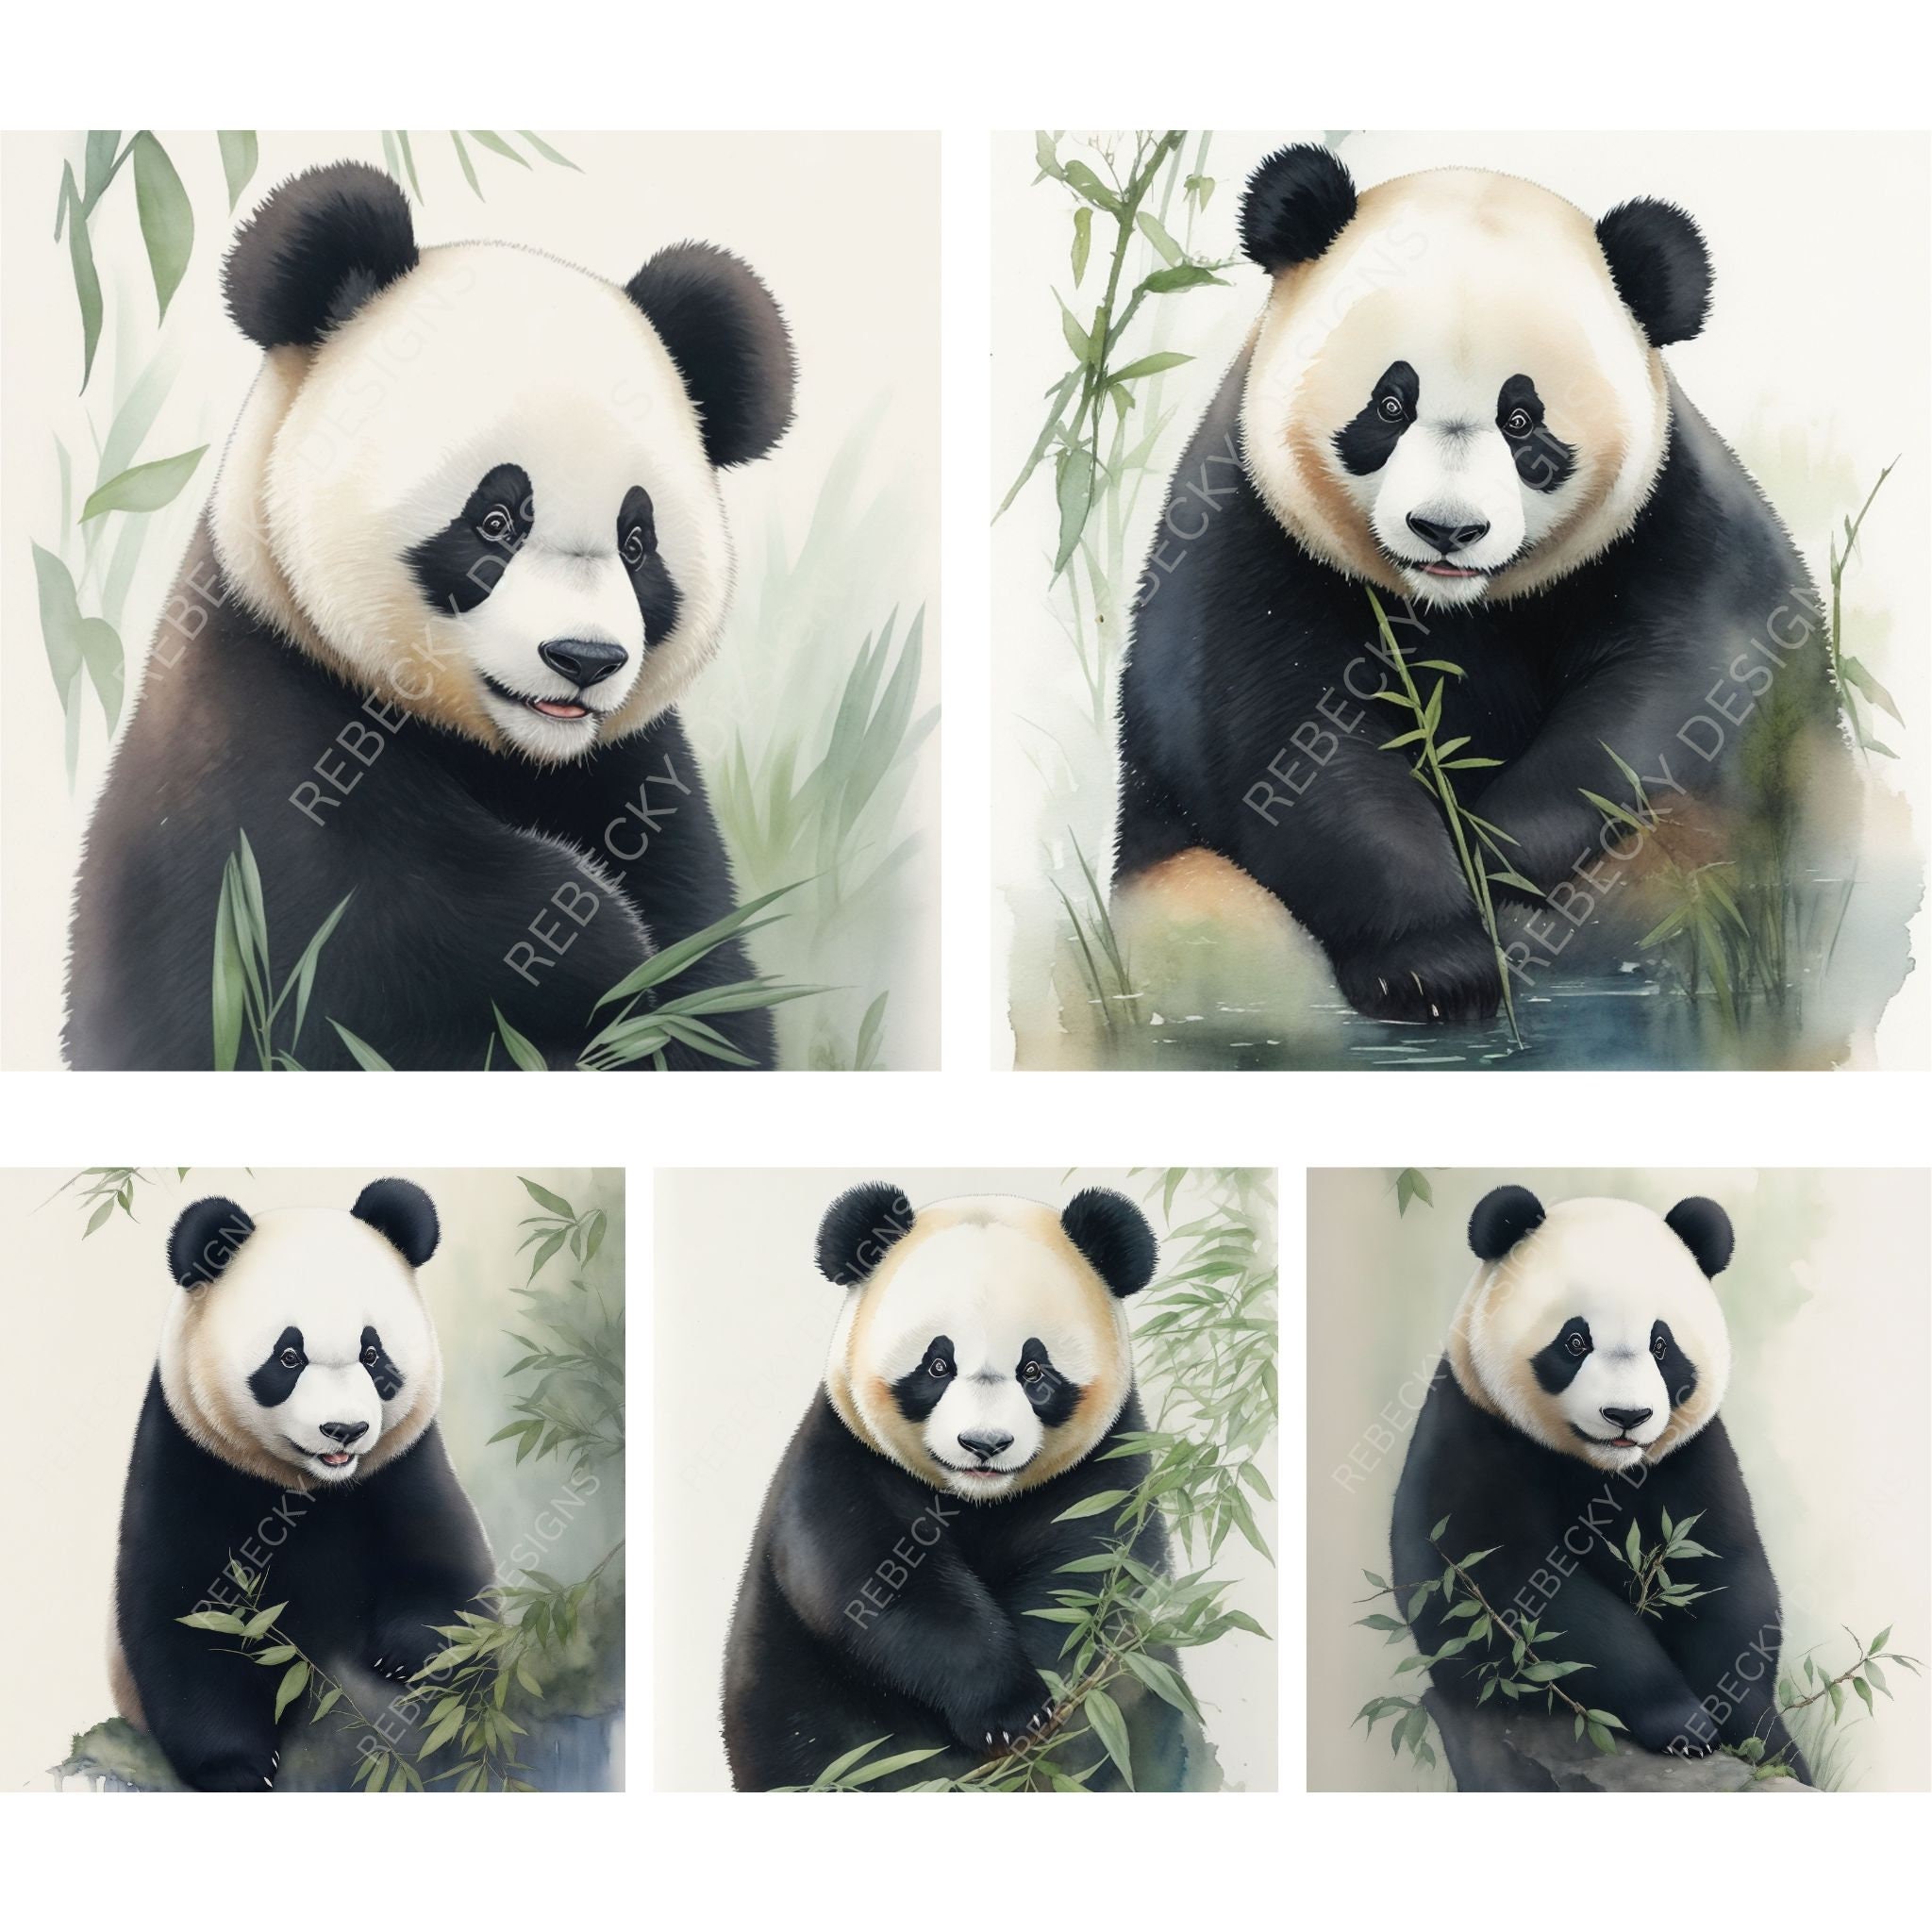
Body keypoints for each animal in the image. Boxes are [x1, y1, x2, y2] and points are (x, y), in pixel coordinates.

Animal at [67, 160, 794, 1070]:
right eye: (496, 520)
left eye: (638, 543)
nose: (584, 660)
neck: (506, 755)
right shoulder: (258, 755)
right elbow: (379, 951)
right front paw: (591, 942)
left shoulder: (638, 782)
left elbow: (713, 987)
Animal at [112, 1179, 492, 1790]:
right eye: (288, 1356)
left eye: (372, 1352)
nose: (344, 1429)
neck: (310, 1490)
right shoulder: (188, 1462)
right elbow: (190, 1617)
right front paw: (237, 1767)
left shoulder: (402, 1467)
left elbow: (450, 1574)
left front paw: (412, 1658)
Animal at [722, 1183, 1201, 1791]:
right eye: (937, 1364)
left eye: (1034, 1371)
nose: (984, 1444)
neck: (976, 1501)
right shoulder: (849, 1459)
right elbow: (875, 1584)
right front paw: (1007, 1711)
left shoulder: (1104, 1467)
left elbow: (1090, 1578)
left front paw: (1036, 1716)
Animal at [1116, 146, 1850, 1023]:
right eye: (1390, 404)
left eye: (1523, 420)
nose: (1447, 530)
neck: (1454, 608)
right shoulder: (1253, 538)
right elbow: (1287, 746)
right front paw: (1438, 967)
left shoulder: (1673, 528)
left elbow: (1676, 696)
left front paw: (1490, 856)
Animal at [1391, 1185, 1809, 1788]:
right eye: (1574, 1340)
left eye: (1662, 1345)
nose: (1626, 1416)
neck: (1601, 1467)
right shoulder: (1475, 1431)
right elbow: (1511, 1589)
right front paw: (1678, 1721)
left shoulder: (1691, 1458)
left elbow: (1727, 1577)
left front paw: (1753, 1733)